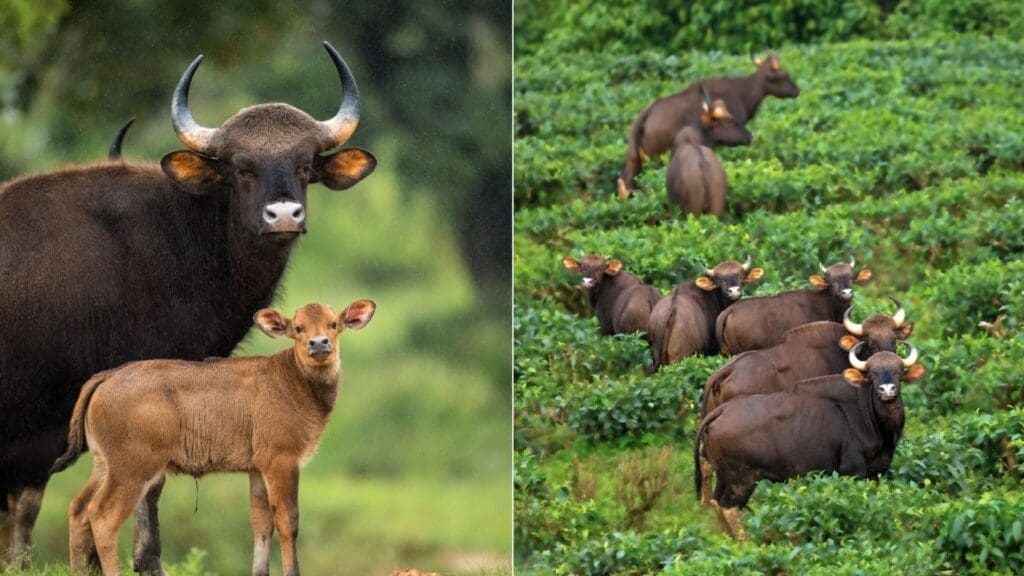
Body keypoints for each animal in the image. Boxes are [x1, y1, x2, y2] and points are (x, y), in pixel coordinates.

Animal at [0, 42, 374, 573]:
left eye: (306, 165)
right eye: (241, 168)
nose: (283, 216)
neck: (187, 235)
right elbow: (143, 493)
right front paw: (147, 561)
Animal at [695, 345, 925, 539]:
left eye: (898, 372)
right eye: (872, 374)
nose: (887, 390)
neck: (868, 416)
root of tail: (721, 411)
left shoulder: (877, 472)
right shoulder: (853, 471)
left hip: (725, 476)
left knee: (716, 500)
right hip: (741, 480)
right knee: (729, 506)